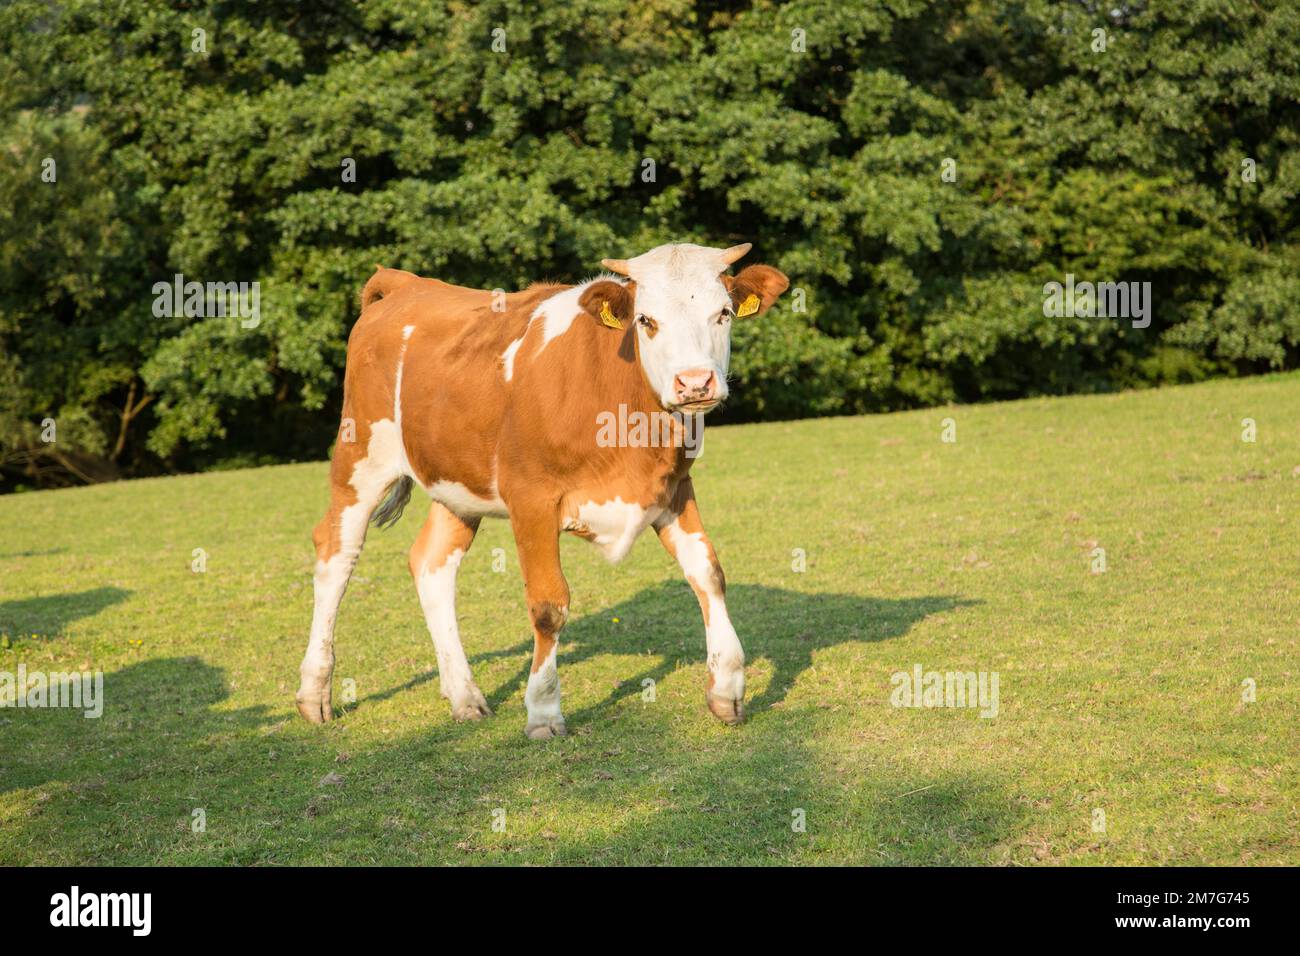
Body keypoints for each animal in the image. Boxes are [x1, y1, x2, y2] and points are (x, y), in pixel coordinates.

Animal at [295, 242, 790, 738]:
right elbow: (549, 604)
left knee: (432, 563)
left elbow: (708, 574)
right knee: (336, 553)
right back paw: (315, 693)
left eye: (723, 313)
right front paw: (544, 712)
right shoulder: (530, 497)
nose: (694, 383)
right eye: (646, 320)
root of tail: (406, 284)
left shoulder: (674, 487)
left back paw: (465, 696)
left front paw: (727, 690)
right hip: (360, 457)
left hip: (457, 480)